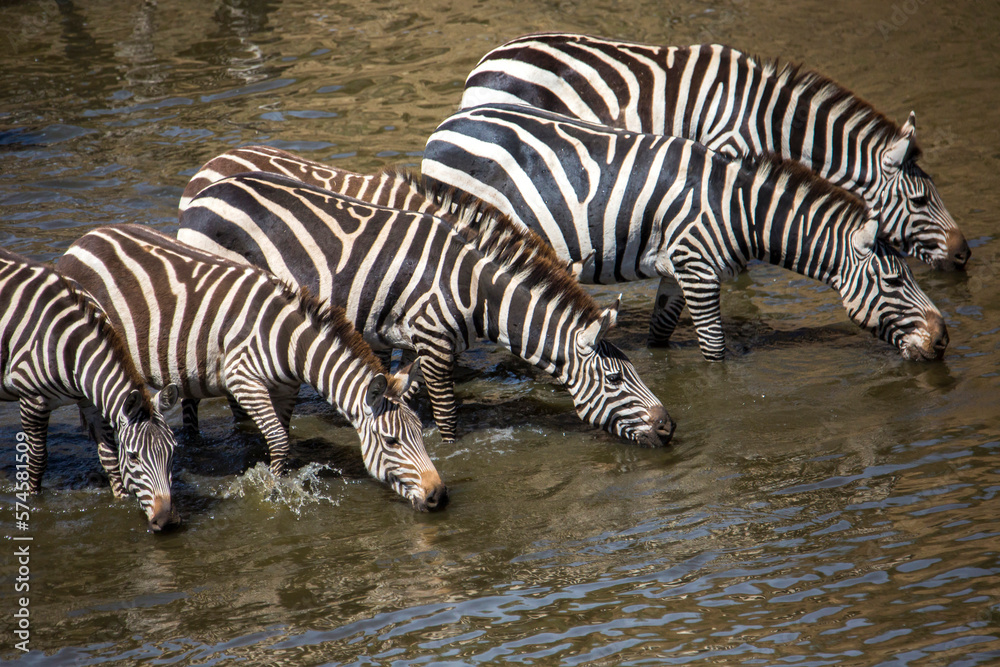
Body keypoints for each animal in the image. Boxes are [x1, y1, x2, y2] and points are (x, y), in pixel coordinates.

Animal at [0, 247, 179, 531]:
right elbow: (37, 460)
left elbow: (109, 458)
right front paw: (33, 500)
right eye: (134, 457)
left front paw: (120, 498)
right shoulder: (32, 400)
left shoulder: (90, 401)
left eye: (173, 451)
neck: (72, 348)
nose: (167, 520)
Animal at [55, 224, 448, 511]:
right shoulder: (243, 379)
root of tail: (83, 240)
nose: (438, 495)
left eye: (419, 432)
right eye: (392, 440)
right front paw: (274, 490)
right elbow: (278, 439)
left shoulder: (286, 388)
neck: (291, 343)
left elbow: (282, 437)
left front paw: (280, 477)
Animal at [176, 171, 675, 447]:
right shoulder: (434, 341)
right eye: (615, 380)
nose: (670, 428)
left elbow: (406, 394)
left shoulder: (416, 343)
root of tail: (205, 192)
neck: (476, 289)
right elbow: (448, 415)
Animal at [421, 103, 948, 362]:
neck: (738, 210)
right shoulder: (699, 269)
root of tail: (447, 125)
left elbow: (660, 334)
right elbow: (714, 350)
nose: (943, 341)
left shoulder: (676, 271)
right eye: (895, 281)